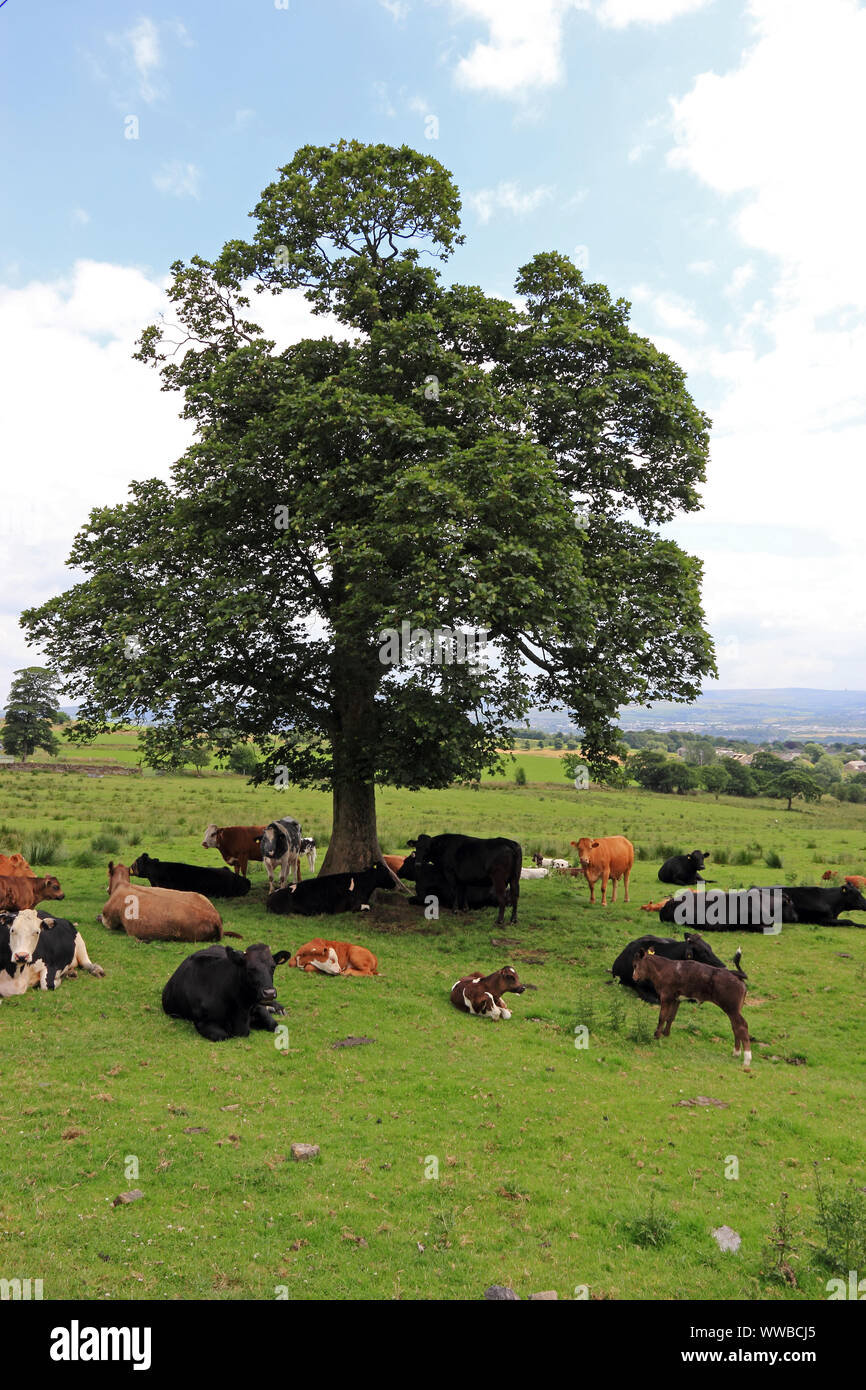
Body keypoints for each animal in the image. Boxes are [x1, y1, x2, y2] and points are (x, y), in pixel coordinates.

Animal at [162, 943, 290, 1042]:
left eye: (273, 966)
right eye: (250, 968)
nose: (269, 993)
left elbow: (274, 1024)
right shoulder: (203, 1022)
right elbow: (223, 1035)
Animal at [266, 861, 407, 916]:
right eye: (386, 872)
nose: (394, 884)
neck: (362, 883)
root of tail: (272, 894)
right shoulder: (354, 906)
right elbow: (368, 907)